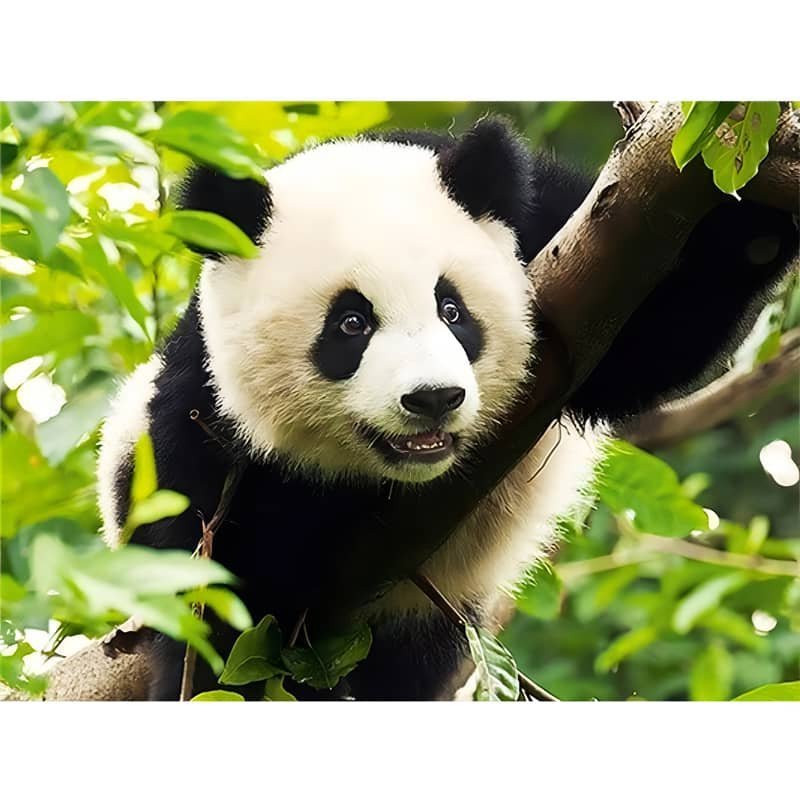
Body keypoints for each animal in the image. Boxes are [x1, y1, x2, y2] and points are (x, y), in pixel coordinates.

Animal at [97, 117, 798, 700]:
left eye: (452, 309)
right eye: (350, 324)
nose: (433, 398)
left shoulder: (567, 235)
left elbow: (657, 338)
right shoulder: (202, 417)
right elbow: (225, 595)